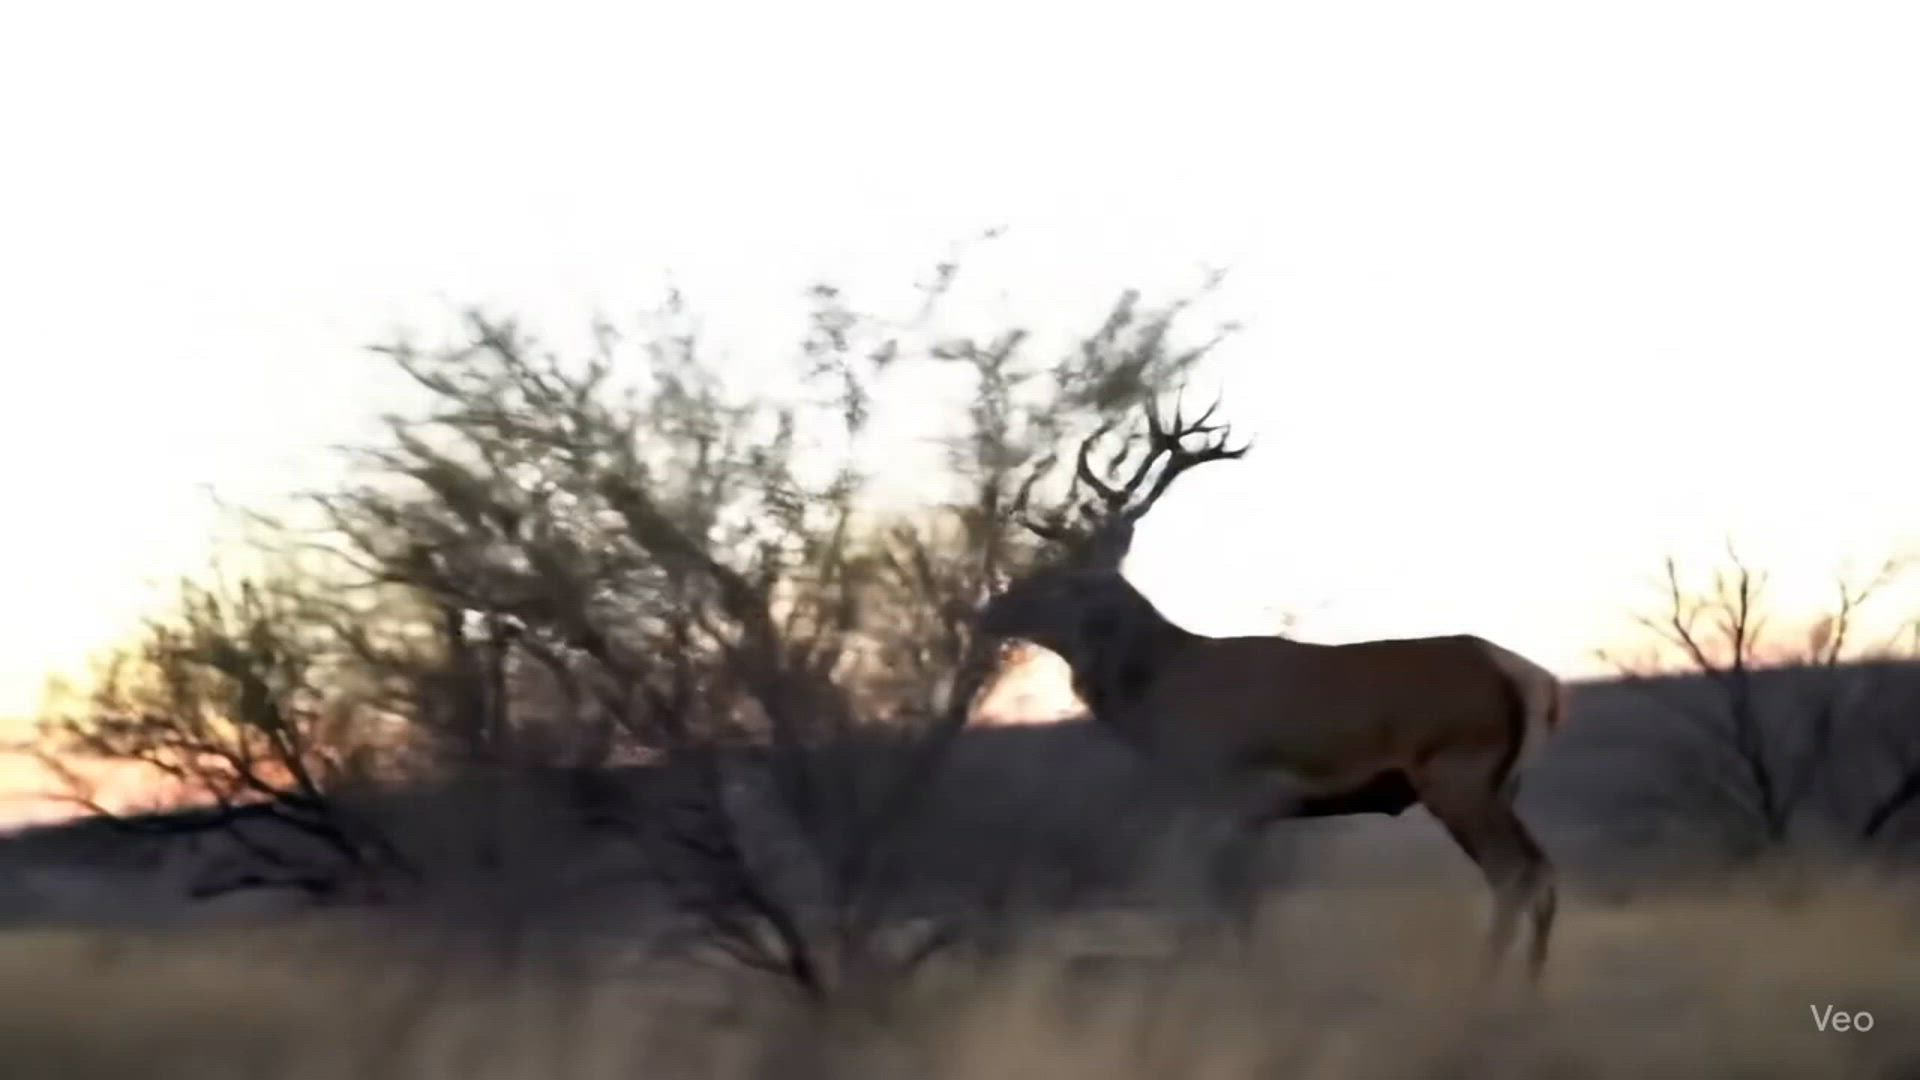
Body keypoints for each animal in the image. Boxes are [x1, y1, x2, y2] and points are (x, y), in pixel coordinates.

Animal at [977, 395, 1566, 980]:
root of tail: (1534, 680)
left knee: (1514, 872)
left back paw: (1484, 983)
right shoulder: (1250, 810)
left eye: (1065, 581)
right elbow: (1240, 909)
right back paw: (1529, 985)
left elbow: (1219, 908)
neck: (1160, 699)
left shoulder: (1227, 790)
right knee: (1542, 867)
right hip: (1499, 784)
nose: (990, 611)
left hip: (1457, 772)